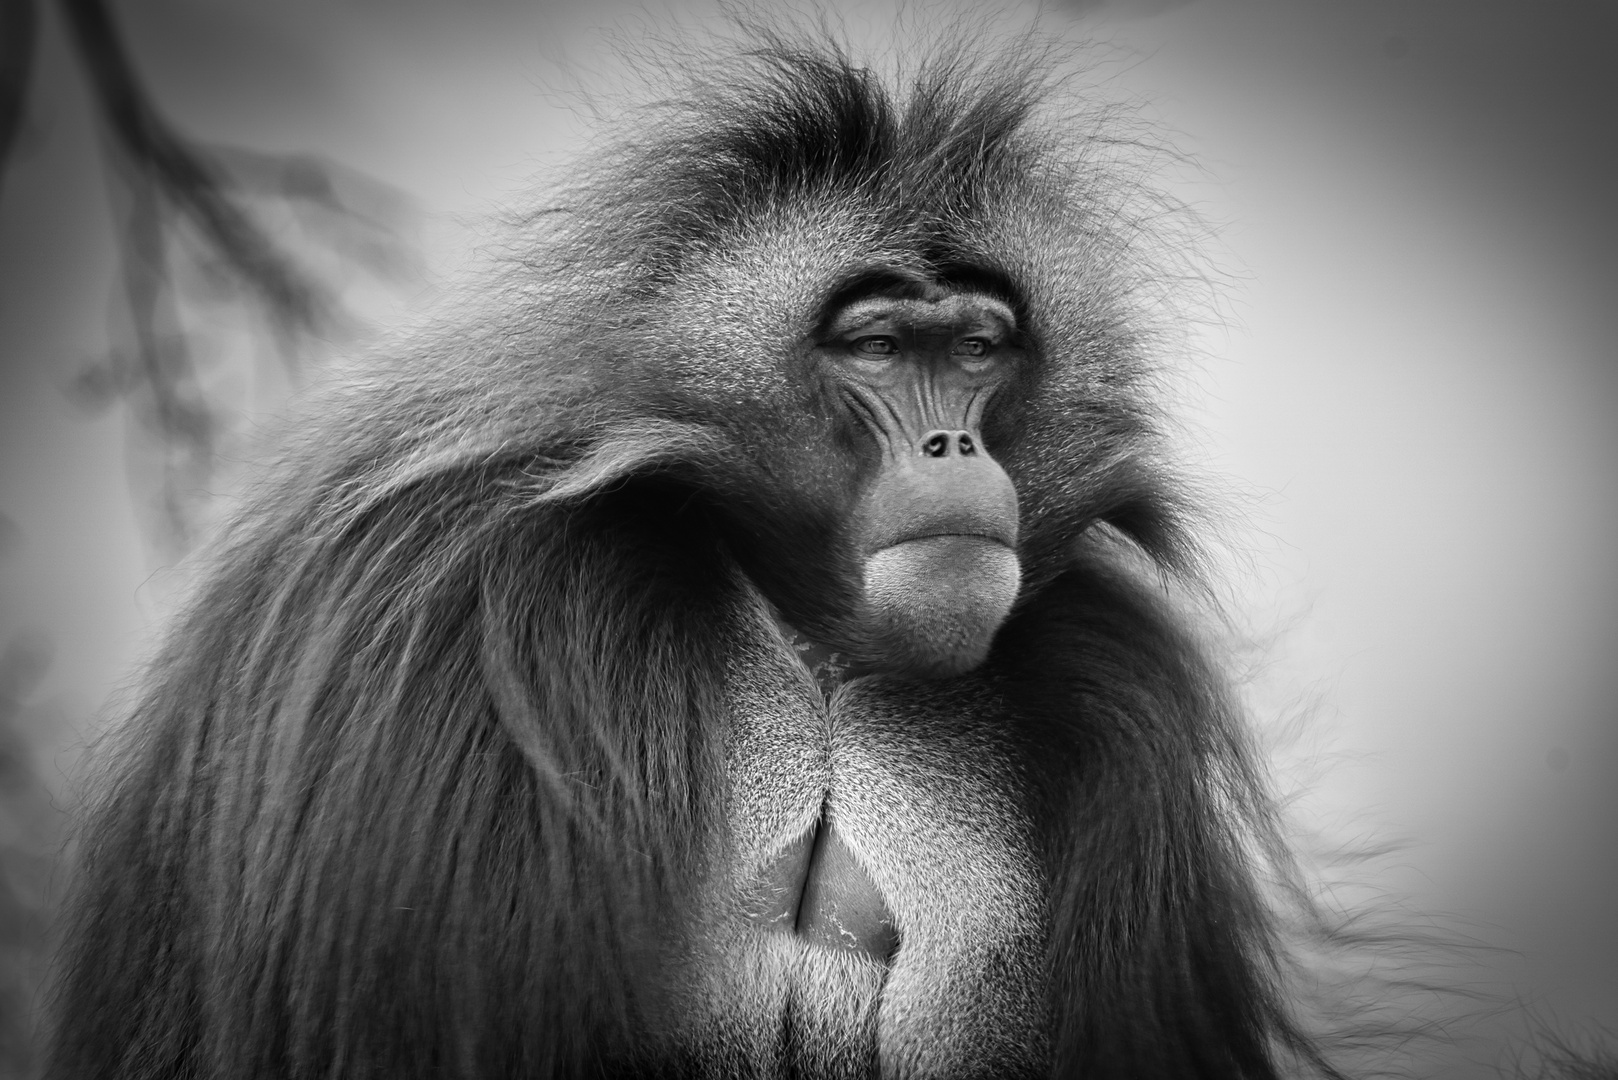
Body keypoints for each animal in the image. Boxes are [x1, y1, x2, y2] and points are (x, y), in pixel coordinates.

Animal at [46, 29, 1337, 1080]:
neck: (817, 649)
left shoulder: (1112, 691)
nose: (952, 445)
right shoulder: (480, 614)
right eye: (877, 347)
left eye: (977, 347)